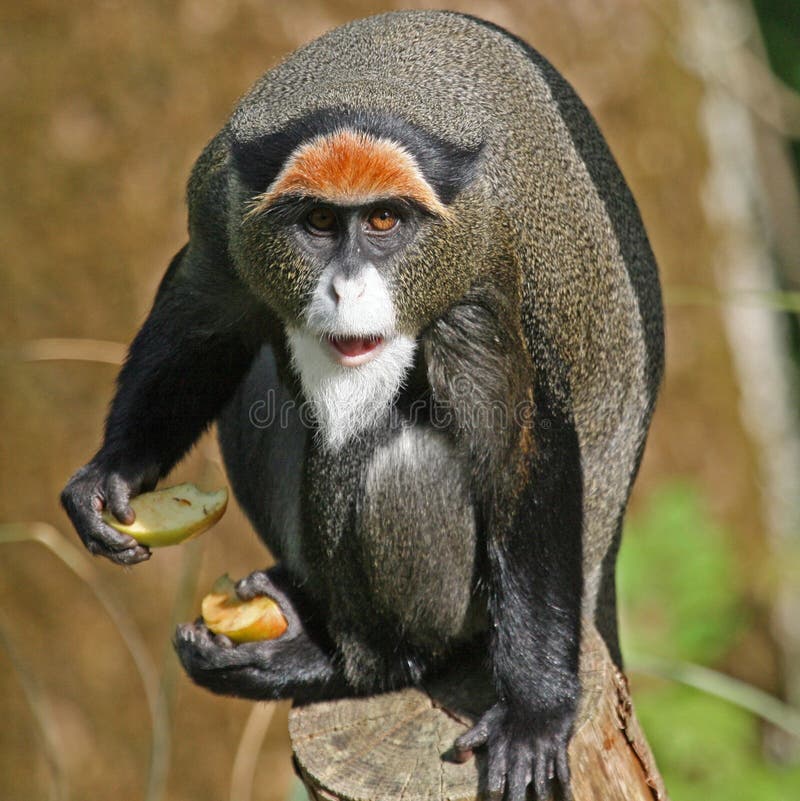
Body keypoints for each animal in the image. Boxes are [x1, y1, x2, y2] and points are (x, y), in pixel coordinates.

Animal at [60, 11, 664, 801]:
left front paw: (534, 714)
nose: (345, 289)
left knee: (395, 464)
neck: (368, 97)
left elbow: (519, 443)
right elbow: (201, 323)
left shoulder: (482, 264)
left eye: (382, 222)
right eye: (319, 223)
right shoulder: (220, 214)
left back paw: (353, 662)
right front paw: (111, 475)